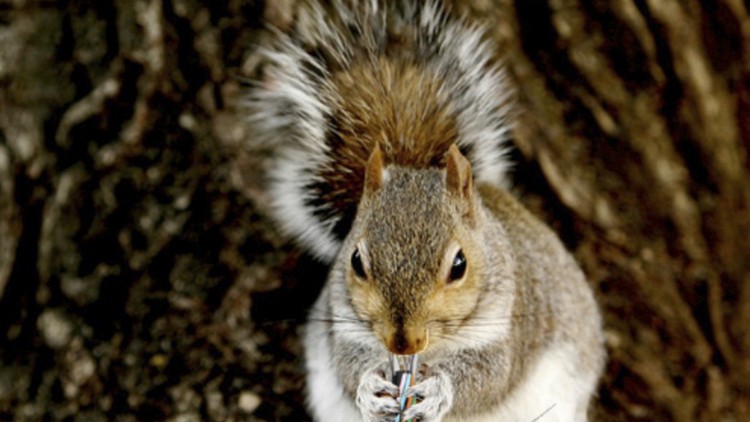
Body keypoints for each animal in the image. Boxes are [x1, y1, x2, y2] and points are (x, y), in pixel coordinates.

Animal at [246, 1, 606, 421]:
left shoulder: (513, 325)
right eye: (356, 261)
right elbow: (348, 365)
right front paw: (369, 387)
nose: (403, 344)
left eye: (459, 265)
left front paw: (438, 390)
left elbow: (488, 377)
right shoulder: (342, 322)